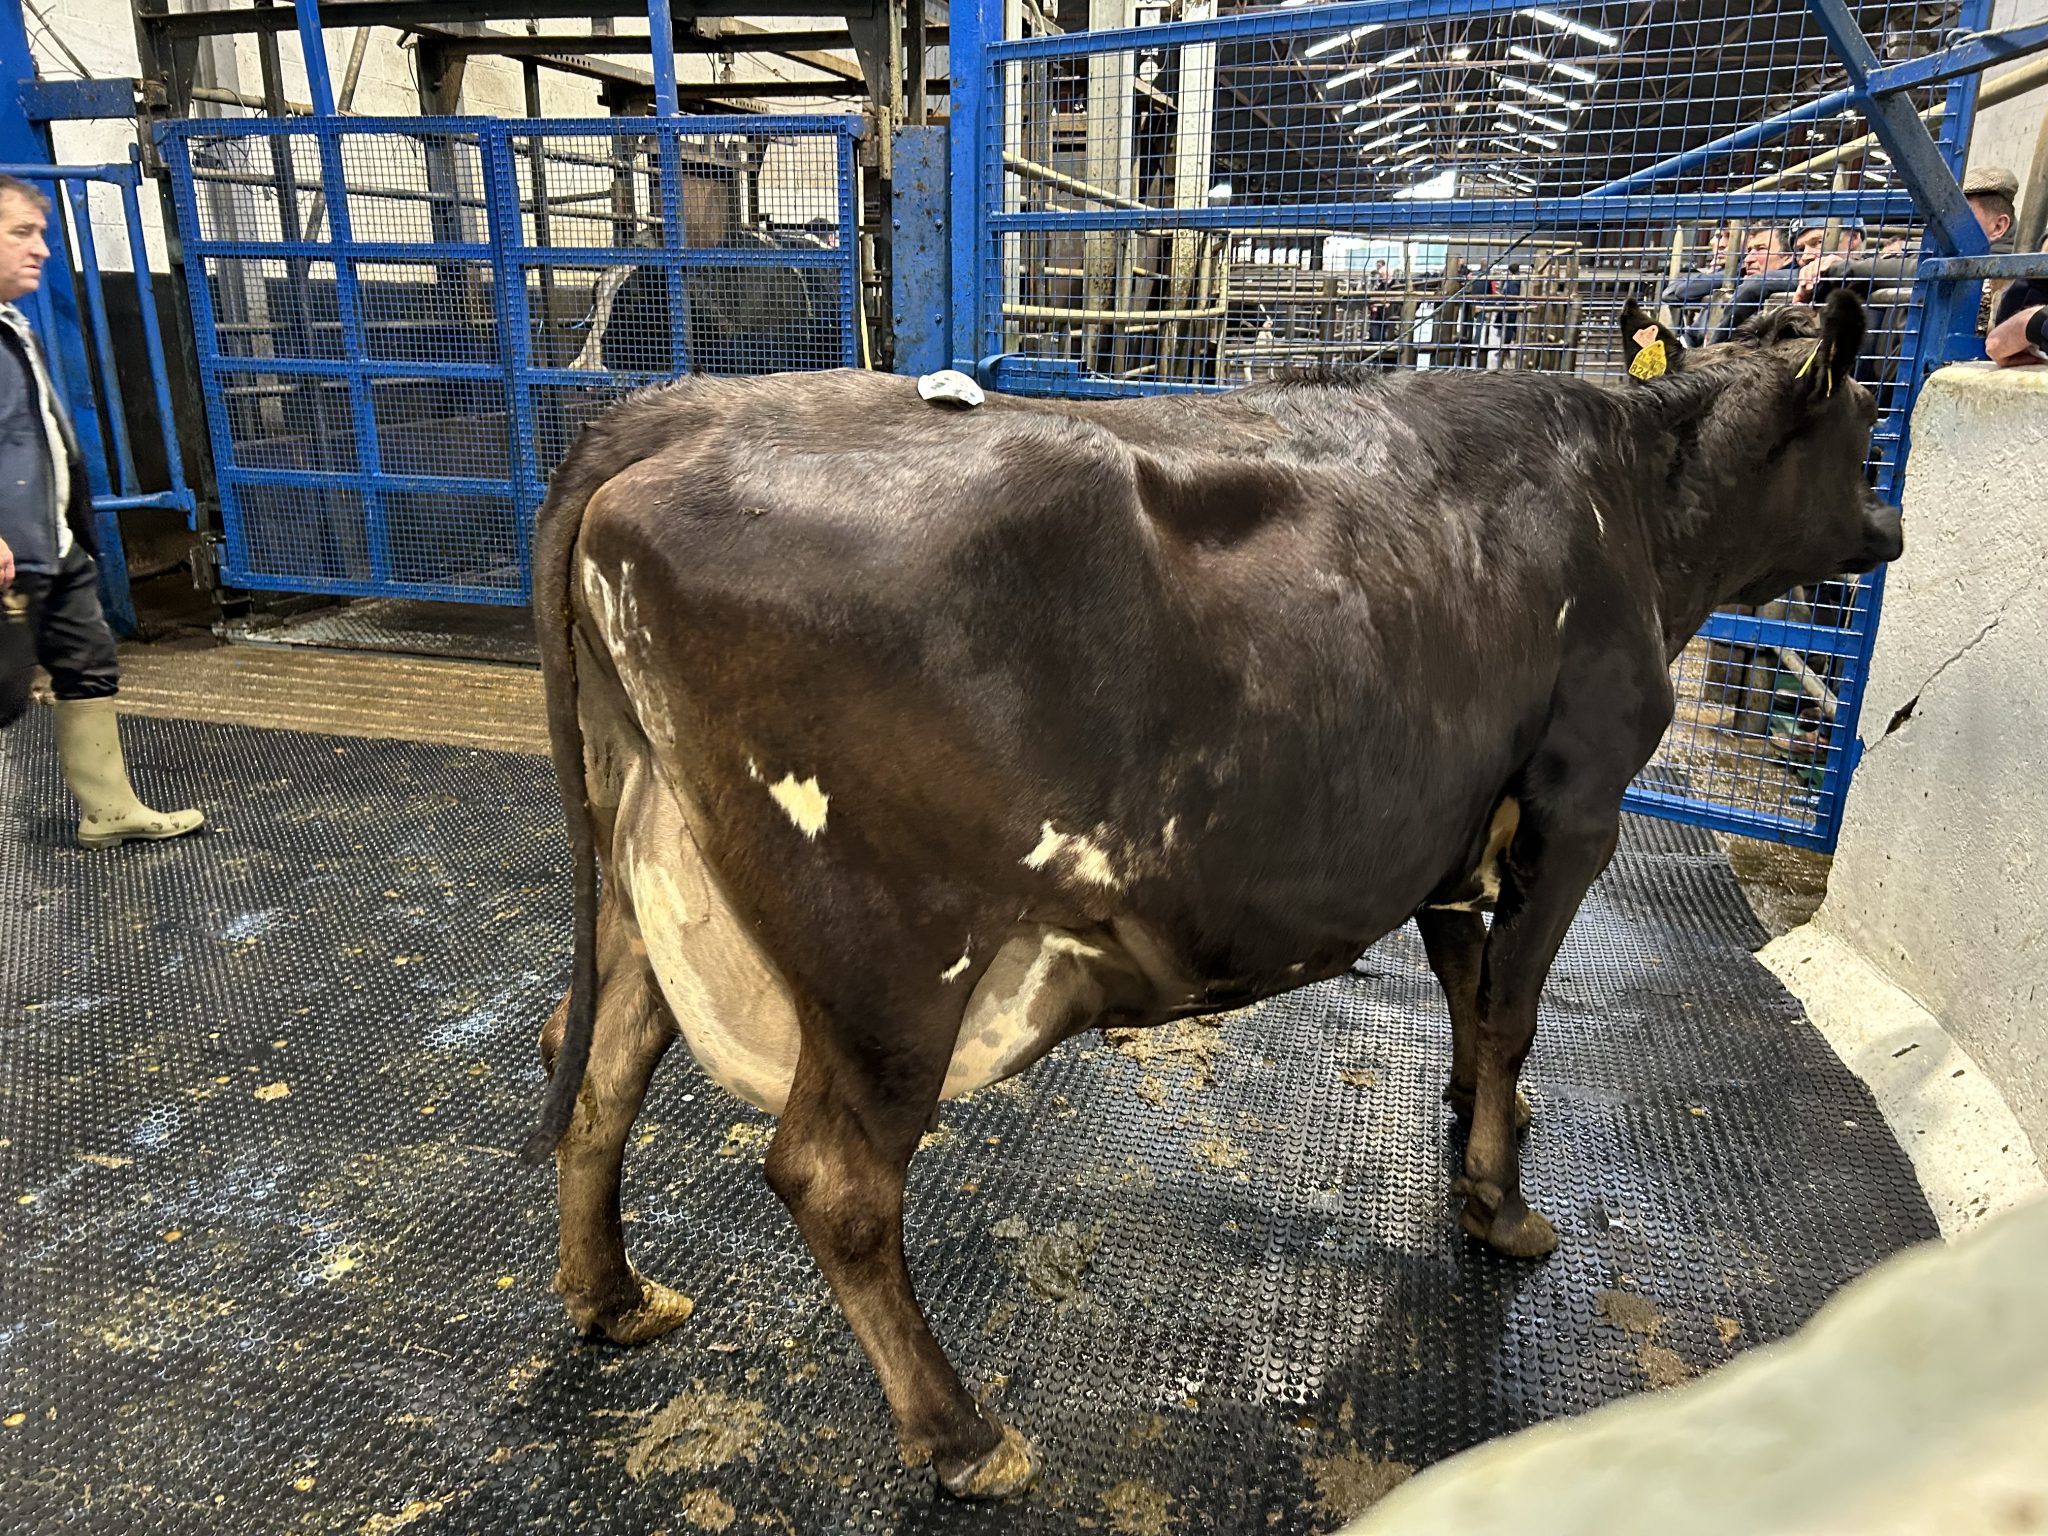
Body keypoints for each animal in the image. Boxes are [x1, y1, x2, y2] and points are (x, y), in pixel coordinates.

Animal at [521, 293, 1901, 1499]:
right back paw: (966, 1438)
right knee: (831, 1176)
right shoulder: (1573, 807)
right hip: (890, 959)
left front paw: (1472, 1117)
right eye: (1866, 417)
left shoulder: (1452, 824)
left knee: (594, 1064)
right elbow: (1511, 1008)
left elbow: (1466, 985)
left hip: (651, 882)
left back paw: (613, 1299)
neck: (1636, 506)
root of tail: (678, 414)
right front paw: (1501, 1210)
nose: (1886, 527)